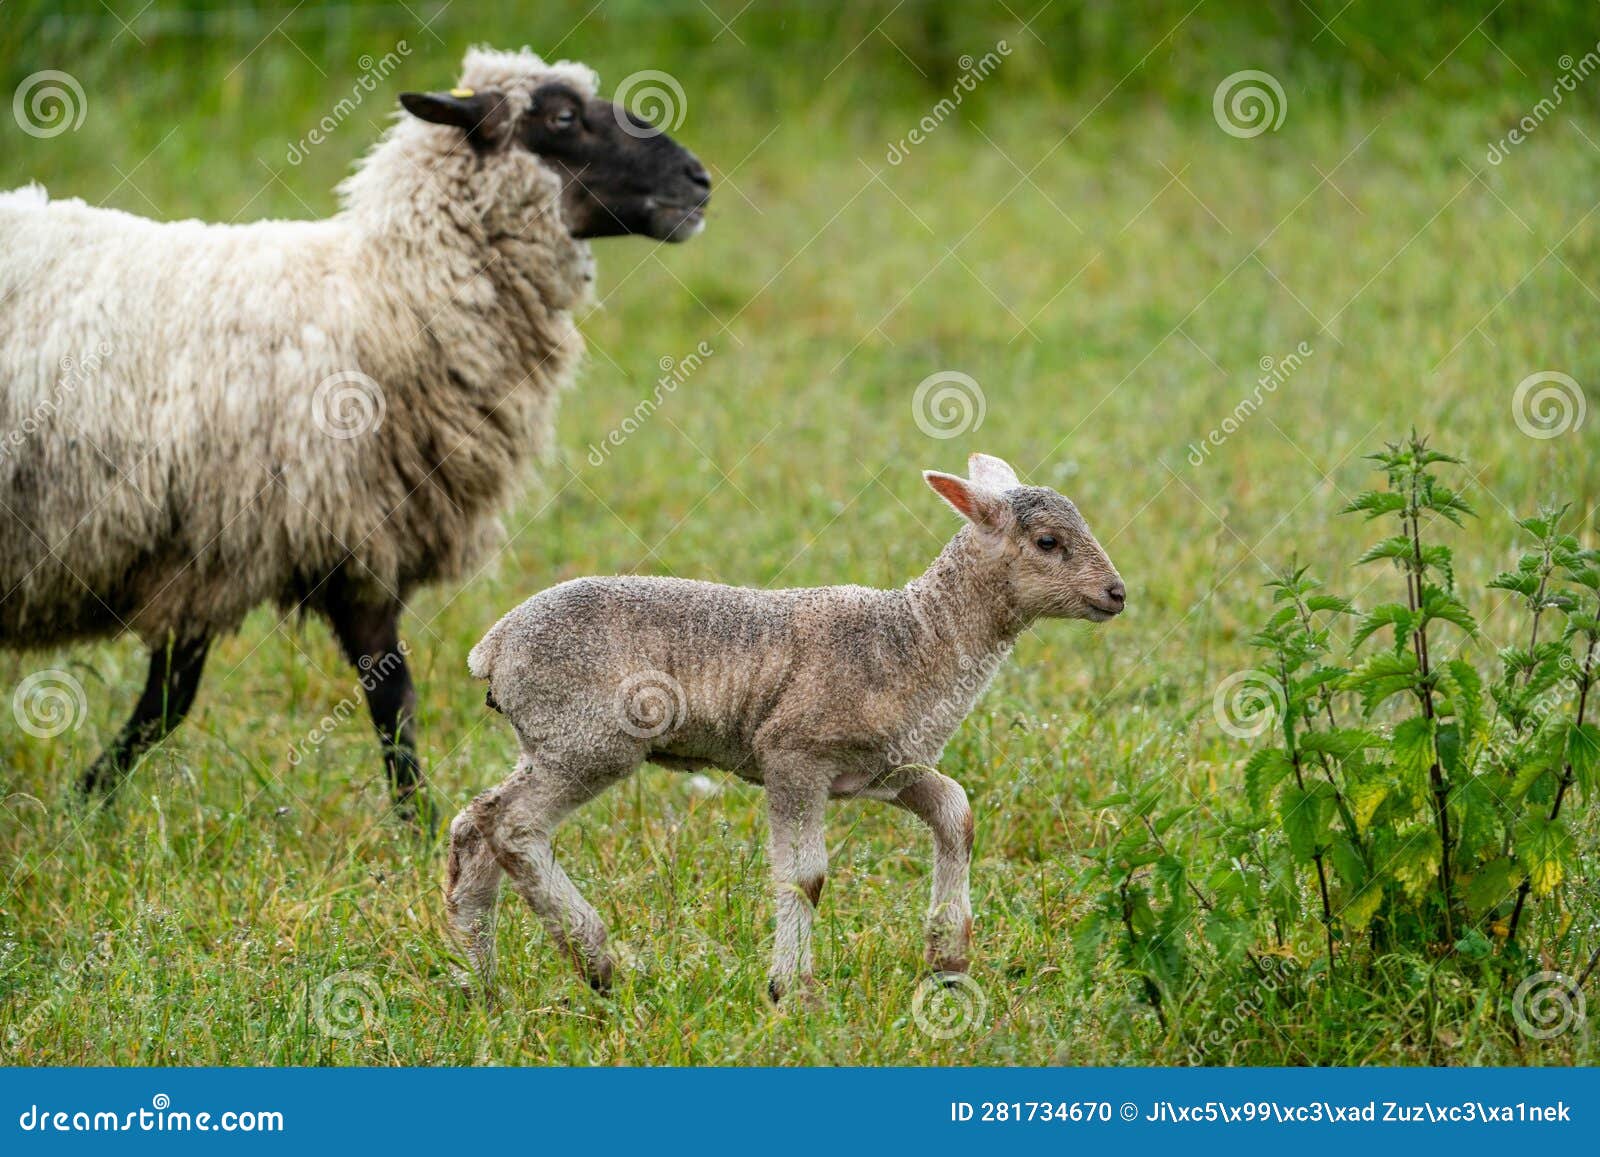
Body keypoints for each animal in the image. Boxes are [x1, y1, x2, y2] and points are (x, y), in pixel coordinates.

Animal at [0, 47, 711, 822]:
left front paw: (418, 822)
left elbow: (388, 693)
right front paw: (83, 801)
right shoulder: (222, 542)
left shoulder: (354, 535)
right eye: (561, 117)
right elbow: (174, 703)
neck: (381, 295)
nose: (699, 180)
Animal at [448, 452, 1126, 1001]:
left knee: (473, 827)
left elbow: (956, 813)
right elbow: (807, 877)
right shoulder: (793, 754)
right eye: (1047, 541)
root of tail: (494, 646)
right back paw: (598, 960)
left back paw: (479, 984)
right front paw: (791, 989)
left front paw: (948, 960)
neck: (914, 635)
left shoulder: (888, 768)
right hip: (590, 740)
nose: (1117, 593)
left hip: (548, 741)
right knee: (513, 826)